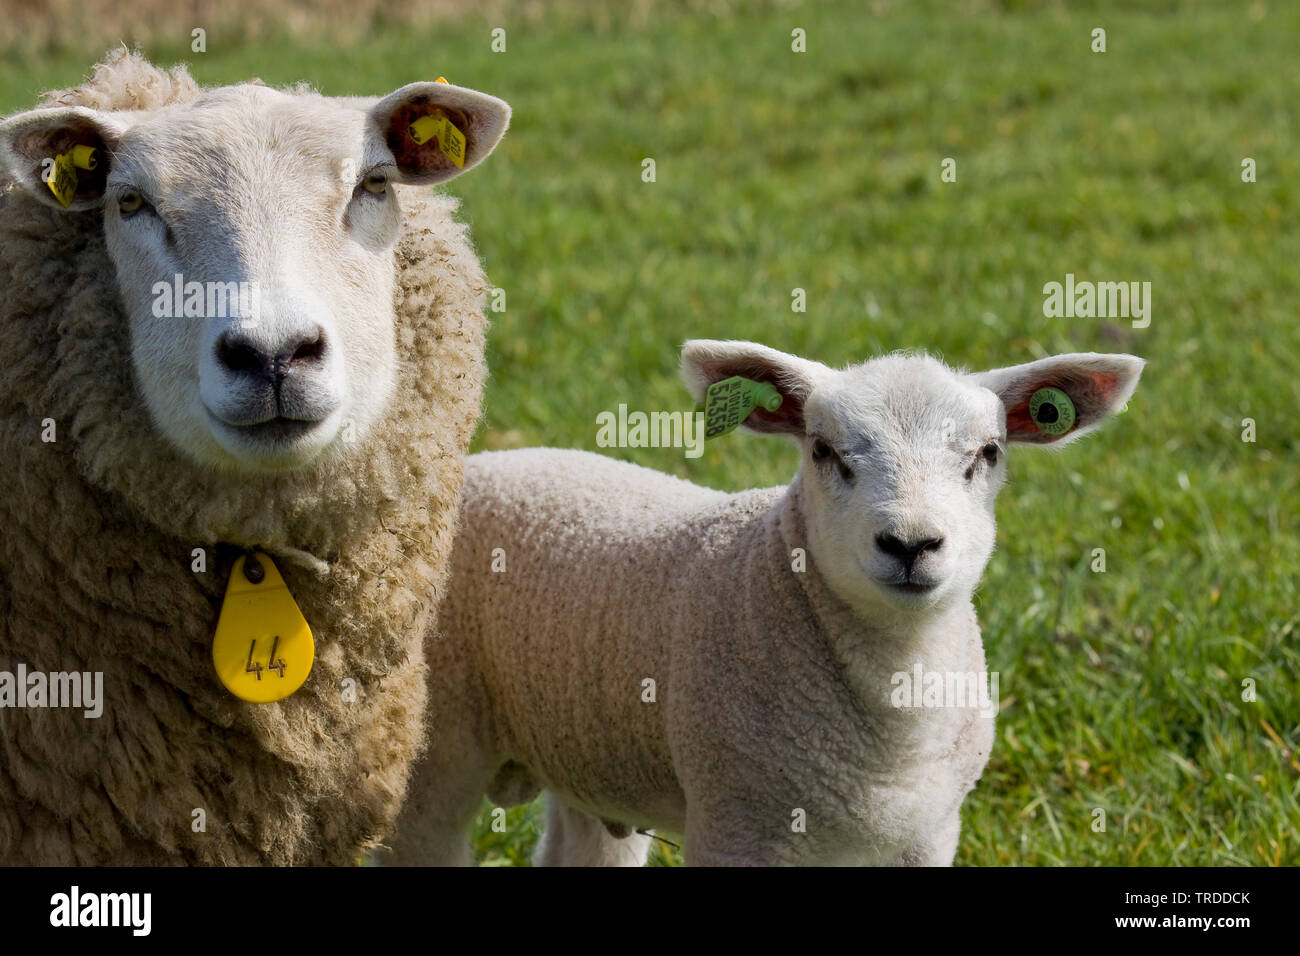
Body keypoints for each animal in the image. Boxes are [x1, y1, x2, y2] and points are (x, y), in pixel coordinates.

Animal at [388, 339, 1144, 866]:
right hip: (436, 748)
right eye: (824, 450)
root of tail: (476, 468)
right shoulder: (738, 823)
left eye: (987, 452)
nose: (910, 544)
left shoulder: (929, 832)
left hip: (585, 750)